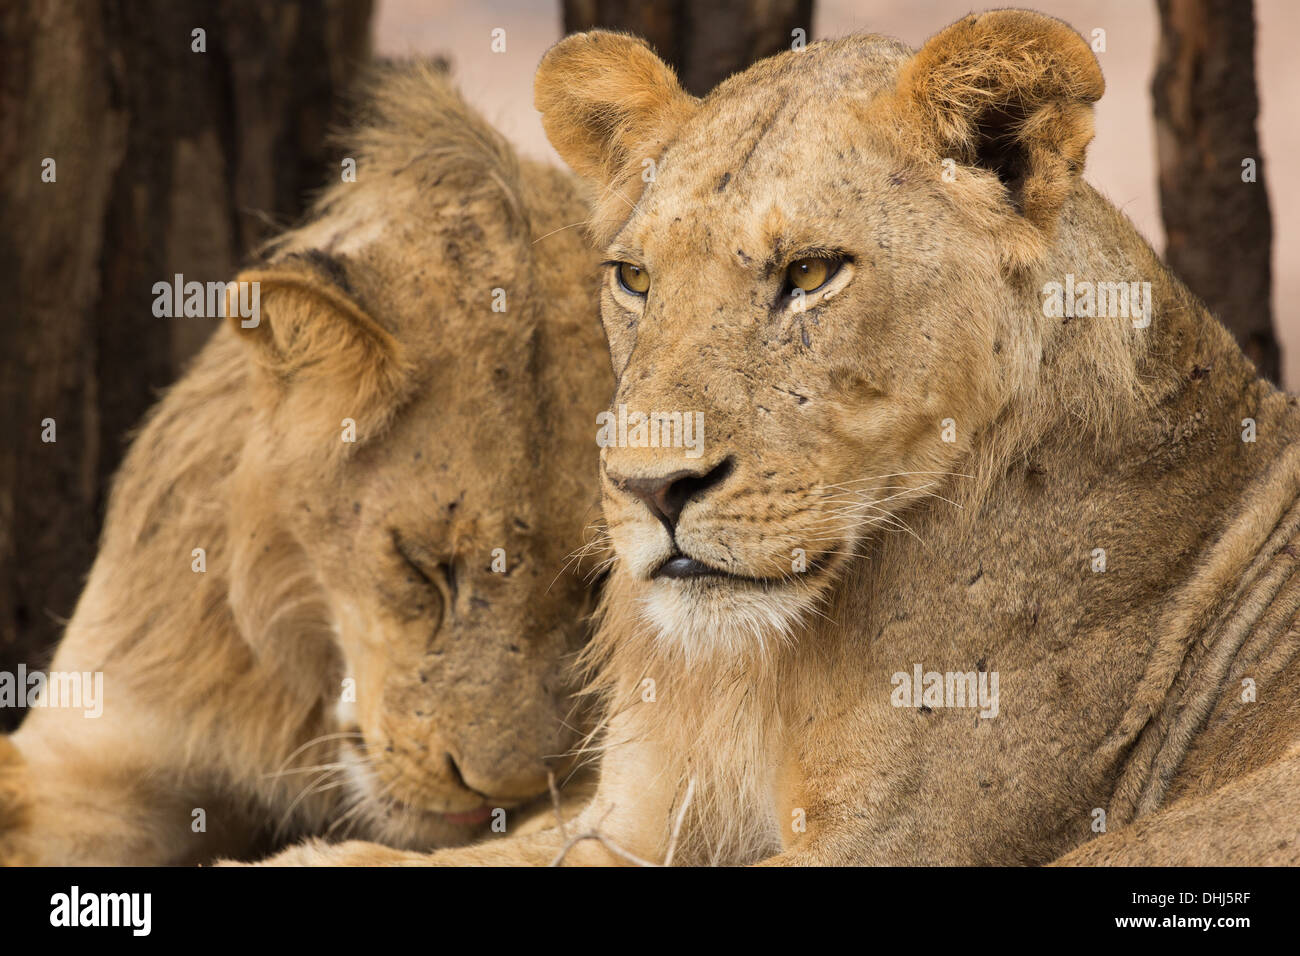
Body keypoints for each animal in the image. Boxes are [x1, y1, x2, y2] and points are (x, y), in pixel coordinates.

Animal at [234, 10, 1300, 867]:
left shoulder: (897, 845)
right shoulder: (636, 812)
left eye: (812, 273)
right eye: (634, 278)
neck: (758, 666)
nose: (650, 489)